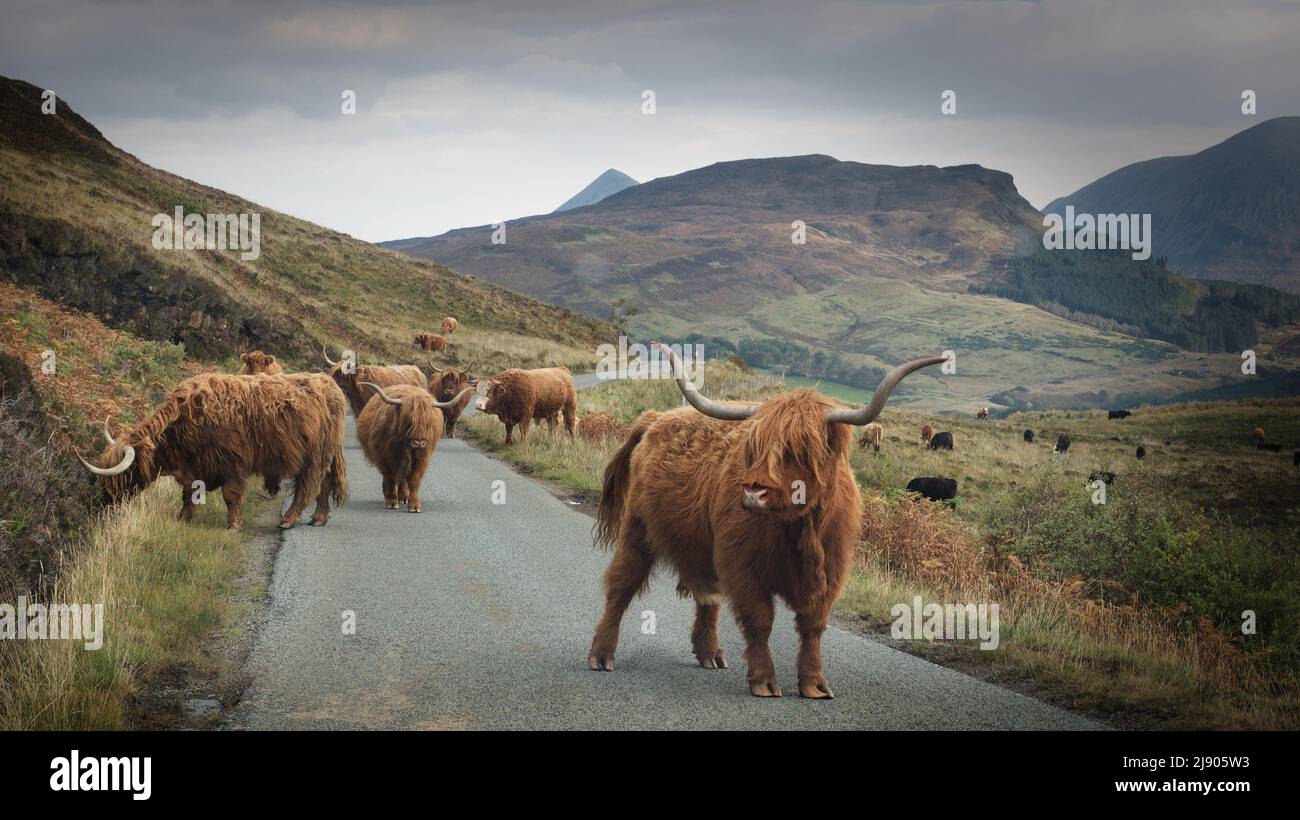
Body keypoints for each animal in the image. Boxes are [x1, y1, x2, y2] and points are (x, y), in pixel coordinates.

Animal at [78, 373, 348, 530]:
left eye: (123, 475)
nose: (106, 503)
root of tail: (330, 385)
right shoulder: (194, 469)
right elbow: (188, 495)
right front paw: (182, 519)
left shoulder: (232, 464)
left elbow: (231, 496)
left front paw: (233, 524)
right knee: (324, 484)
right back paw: (319, 517)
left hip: (315, 455)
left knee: (309, 485)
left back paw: (289, 520)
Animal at [355, 382, 473, 512]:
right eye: (409, 421)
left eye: (428, 423)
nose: (419, 442)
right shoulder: (386, 458)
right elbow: (391, 478)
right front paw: (392, 501)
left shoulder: (421, 458)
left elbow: (414, 480)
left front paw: (414, 505)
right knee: (392, 477)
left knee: (402, 478)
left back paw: (403, 497)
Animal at [587, 343, 947, 699]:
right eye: (753, 447)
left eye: (801, 449)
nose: (752, 493)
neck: (800, 529)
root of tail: (657, 417)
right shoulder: (744, 567)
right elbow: (759, 621)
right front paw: (764, 680)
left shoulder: (831, 572)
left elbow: (813, 626)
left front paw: (815, 684)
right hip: (637, 531)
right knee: (621, 585)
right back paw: (602, 654)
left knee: (707, 597)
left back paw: (710, 653)